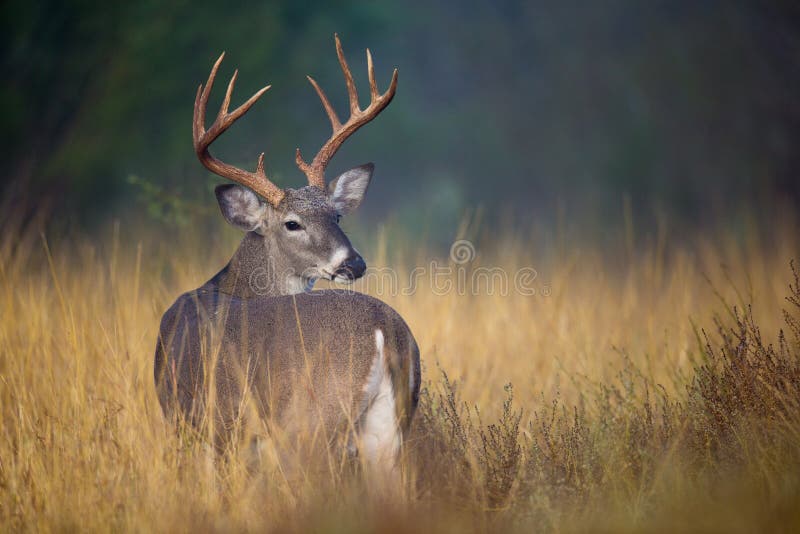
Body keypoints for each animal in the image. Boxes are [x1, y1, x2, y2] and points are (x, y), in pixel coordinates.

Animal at [152, 35, 422, 484]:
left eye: (336, 215)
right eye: (292, 223)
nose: (354, 263)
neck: (229, 284)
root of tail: (385, 331)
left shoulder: (212, 427)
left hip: (308, 423)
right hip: (389, 429)